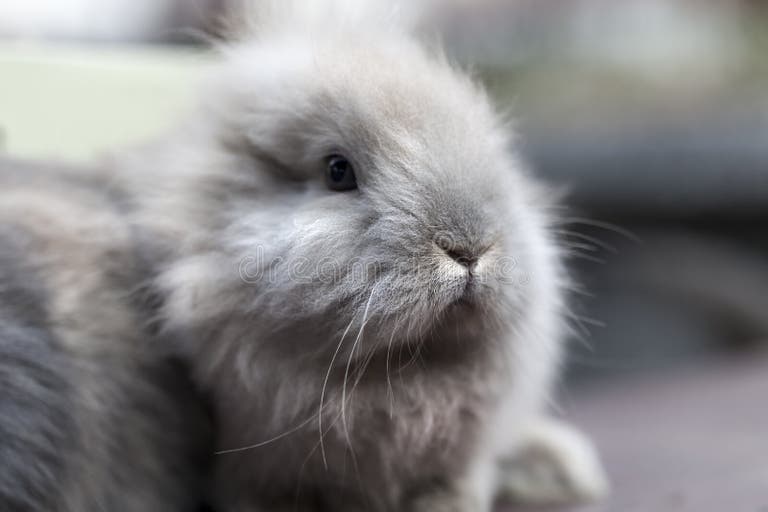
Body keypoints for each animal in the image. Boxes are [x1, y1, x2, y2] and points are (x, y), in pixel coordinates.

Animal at [0, 0, 606, 510]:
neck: (398, 375)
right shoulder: (256, 480)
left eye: (492, 152)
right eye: (338, 171)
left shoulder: (454, 472)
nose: (470, 249)